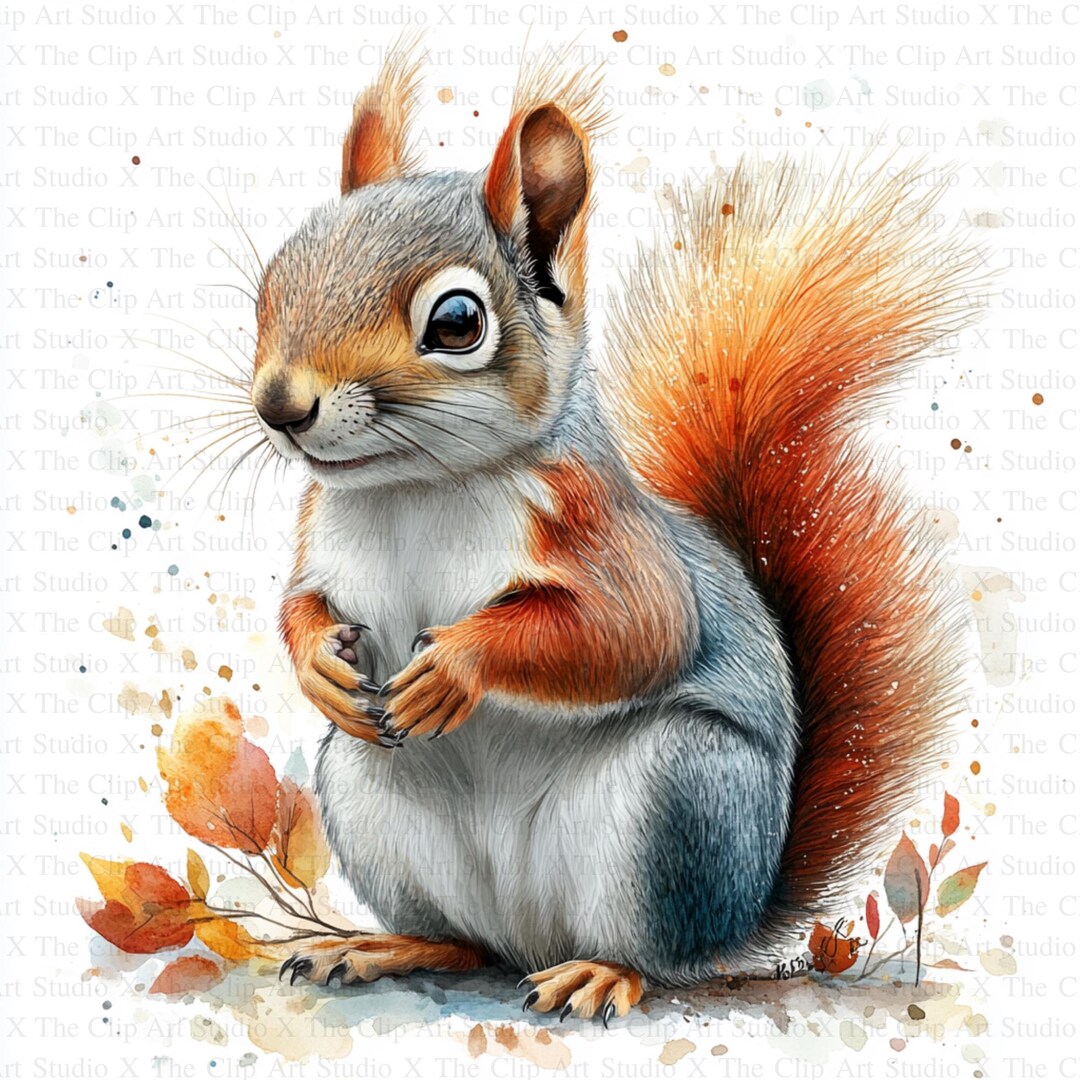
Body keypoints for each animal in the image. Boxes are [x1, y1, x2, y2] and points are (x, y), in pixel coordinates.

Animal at [253, 44, 982, 1022]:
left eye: (457, 322)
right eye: (274, 282)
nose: (280, 405)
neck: (415, 488)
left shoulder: (604, 536)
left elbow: (632, 631)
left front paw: (455, 665)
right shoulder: (322, 550)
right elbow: (302, 608)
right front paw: (319, 668)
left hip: (673, 803)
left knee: (652, 954)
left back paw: (599, 972)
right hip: (369, 792)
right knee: (462, 938)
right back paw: (385, 947)